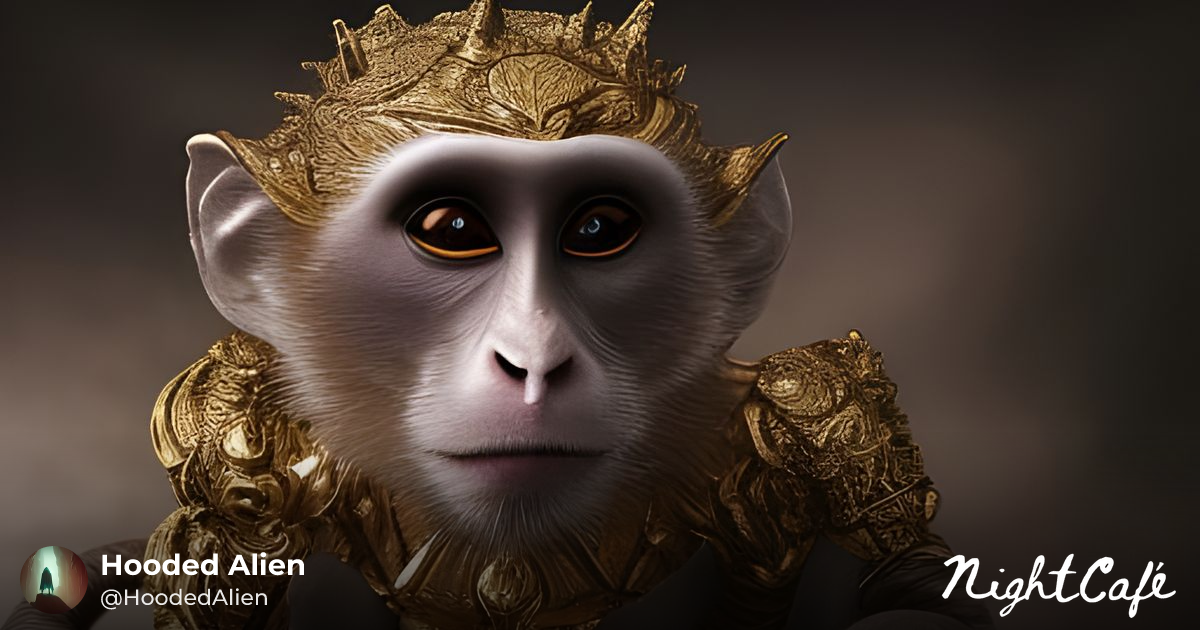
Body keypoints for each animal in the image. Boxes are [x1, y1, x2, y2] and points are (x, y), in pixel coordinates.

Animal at [1, 2, 994, 630]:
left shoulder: (798, 433)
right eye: (451, 229)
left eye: (599, 228)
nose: (534, 359)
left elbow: (902, 564)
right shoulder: (248, 485)